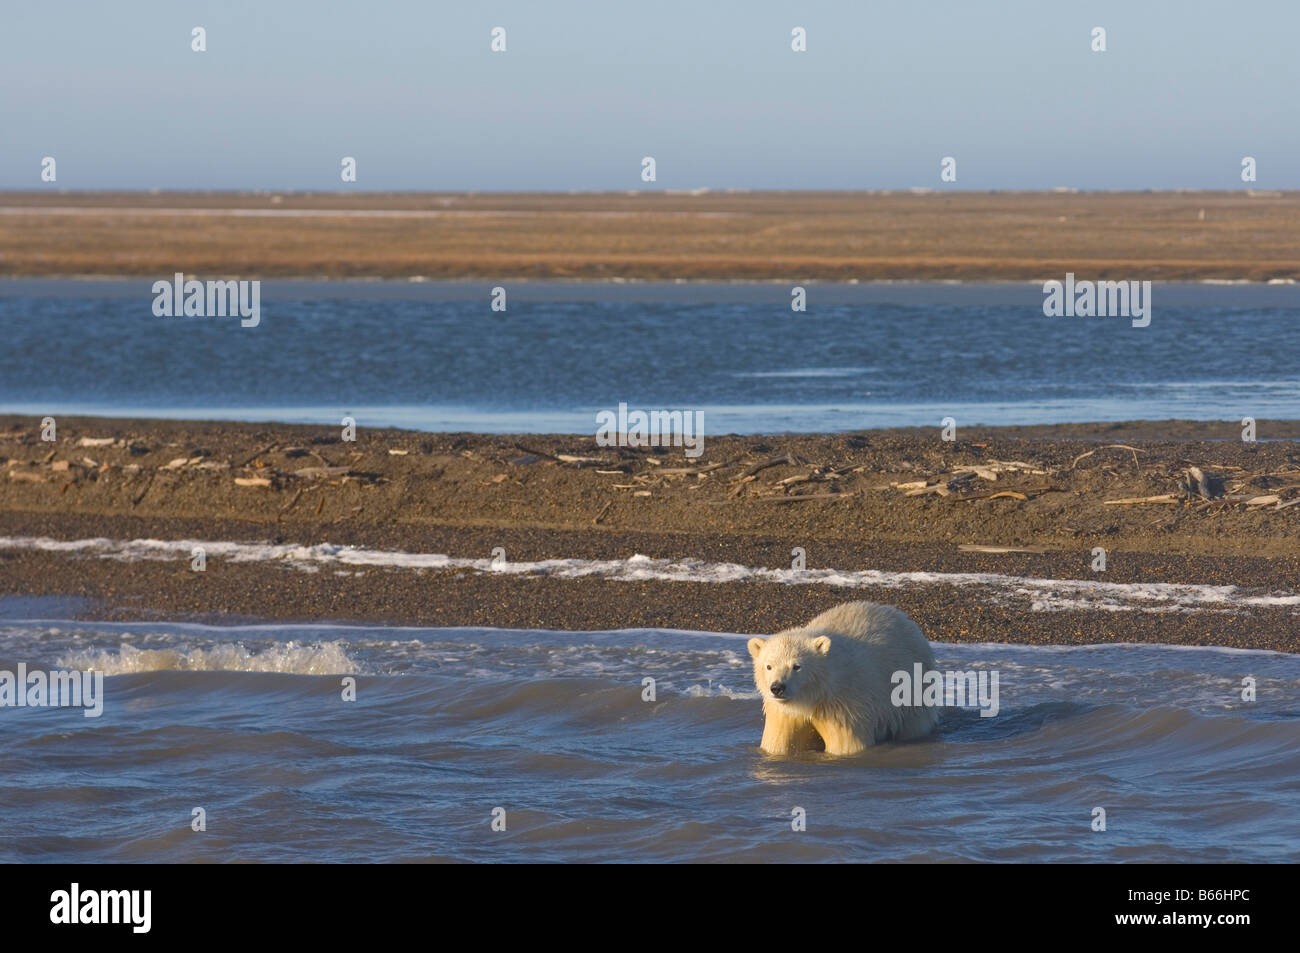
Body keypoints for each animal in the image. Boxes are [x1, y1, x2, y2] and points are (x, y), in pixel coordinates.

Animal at [747, 601, 939, 756]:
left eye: (796, 666)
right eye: (769, 666)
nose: (777, 687)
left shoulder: (844, 707)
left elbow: (846, 745)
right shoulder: (783, 712)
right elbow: (778, 741)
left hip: (911, 686)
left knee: (913, 722)